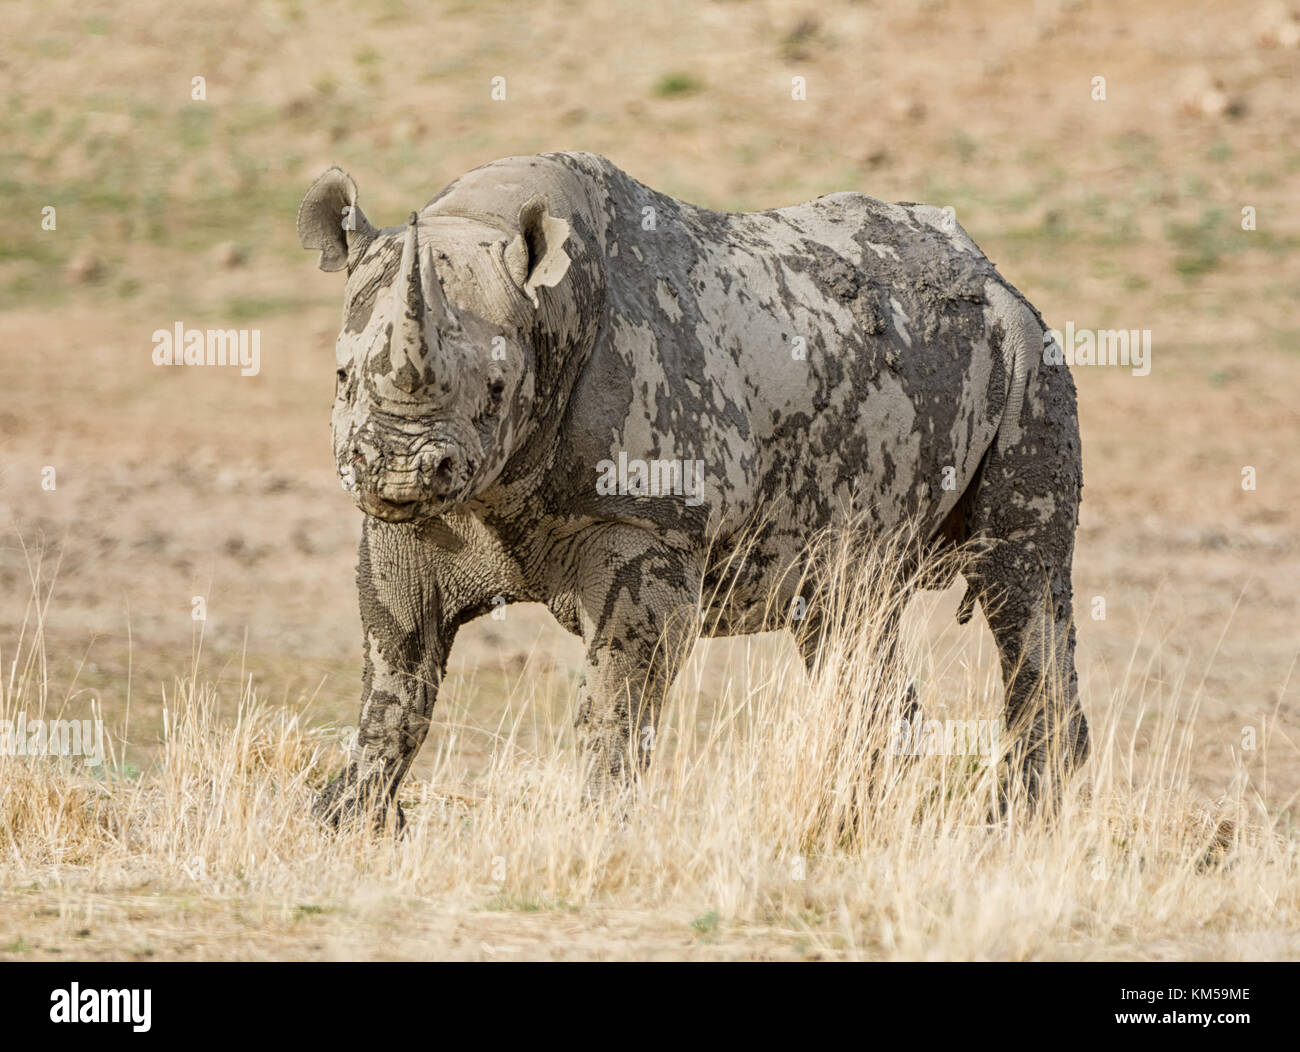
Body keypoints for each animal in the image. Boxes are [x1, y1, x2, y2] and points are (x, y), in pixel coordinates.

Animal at [296, 151, 1089, 827]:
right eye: (341, 377)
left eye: (496, 390)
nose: (400, 469)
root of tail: (990, 270)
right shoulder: (415, 525)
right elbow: (396, 675)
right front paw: (345, 820)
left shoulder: (648, 525)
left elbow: (616, 693)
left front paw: (597, 826)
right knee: (847, 612)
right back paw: (857, 822)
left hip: (1030, 357)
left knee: (1022, 580)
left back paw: (1015, 824)